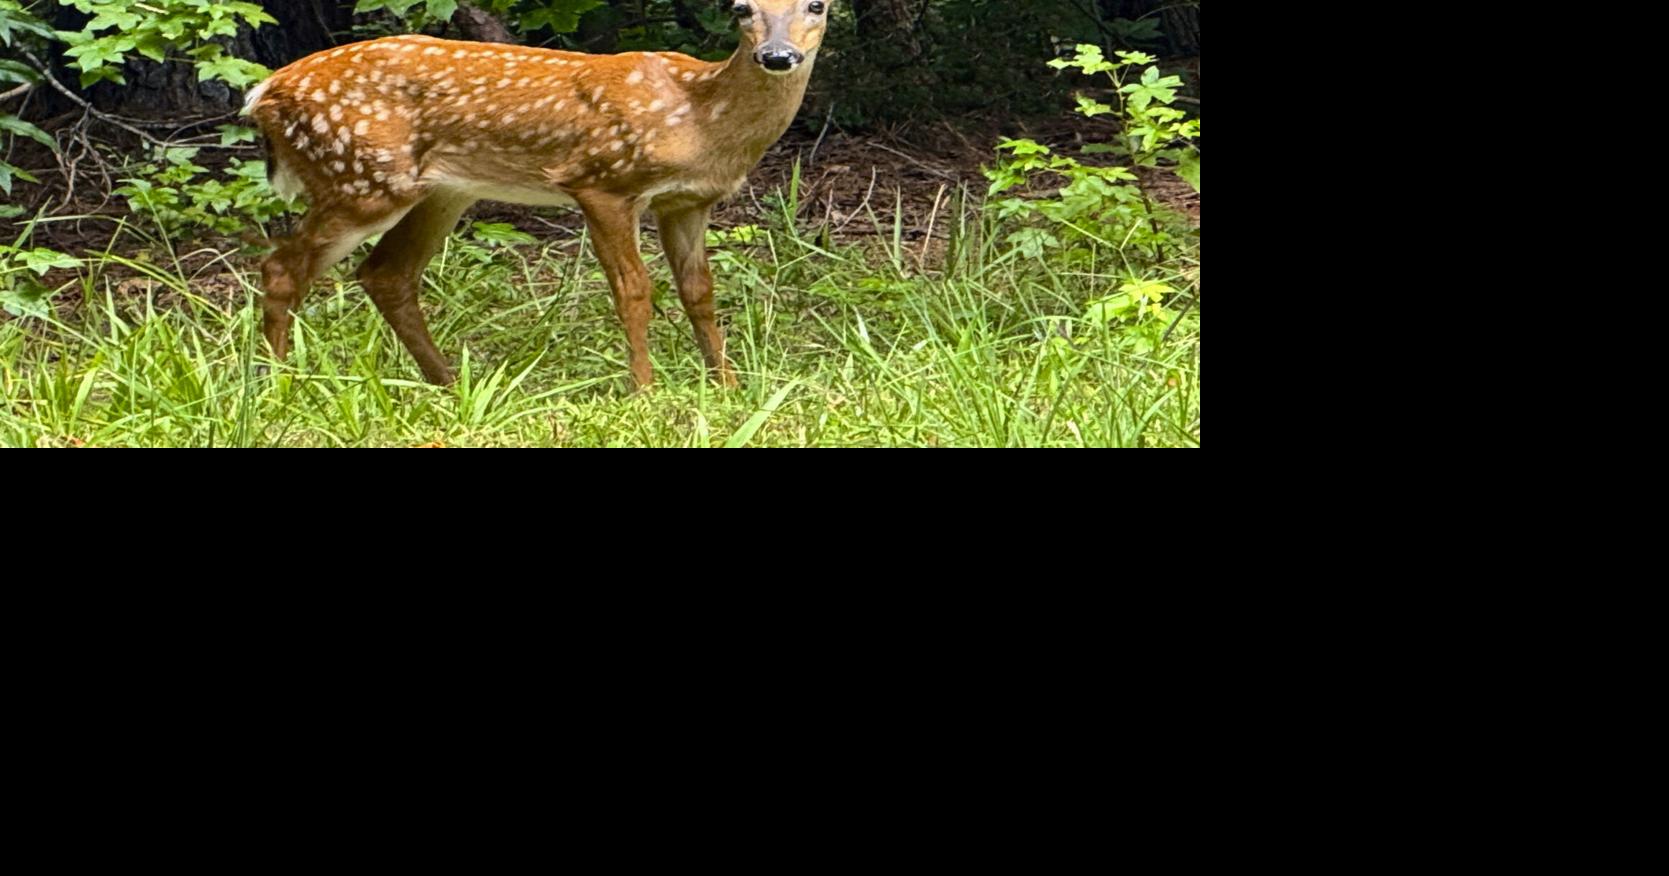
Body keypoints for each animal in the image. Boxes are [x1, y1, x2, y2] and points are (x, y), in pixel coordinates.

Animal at [241, 1, 834, 390]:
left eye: (816, 4)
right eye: (742, 7)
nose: (776, 55)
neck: (700, 120)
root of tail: (262, 93)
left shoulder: (688, 203)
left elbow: (699, 292)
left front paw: (729, 387)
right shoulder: (600, 182)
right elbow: (633, 290)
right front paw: (644, 391)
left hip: (441, 190)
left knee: (386, 273)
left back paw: (448, 383)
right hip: (363, 180)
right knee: (282, 268)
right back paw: (278, 386)